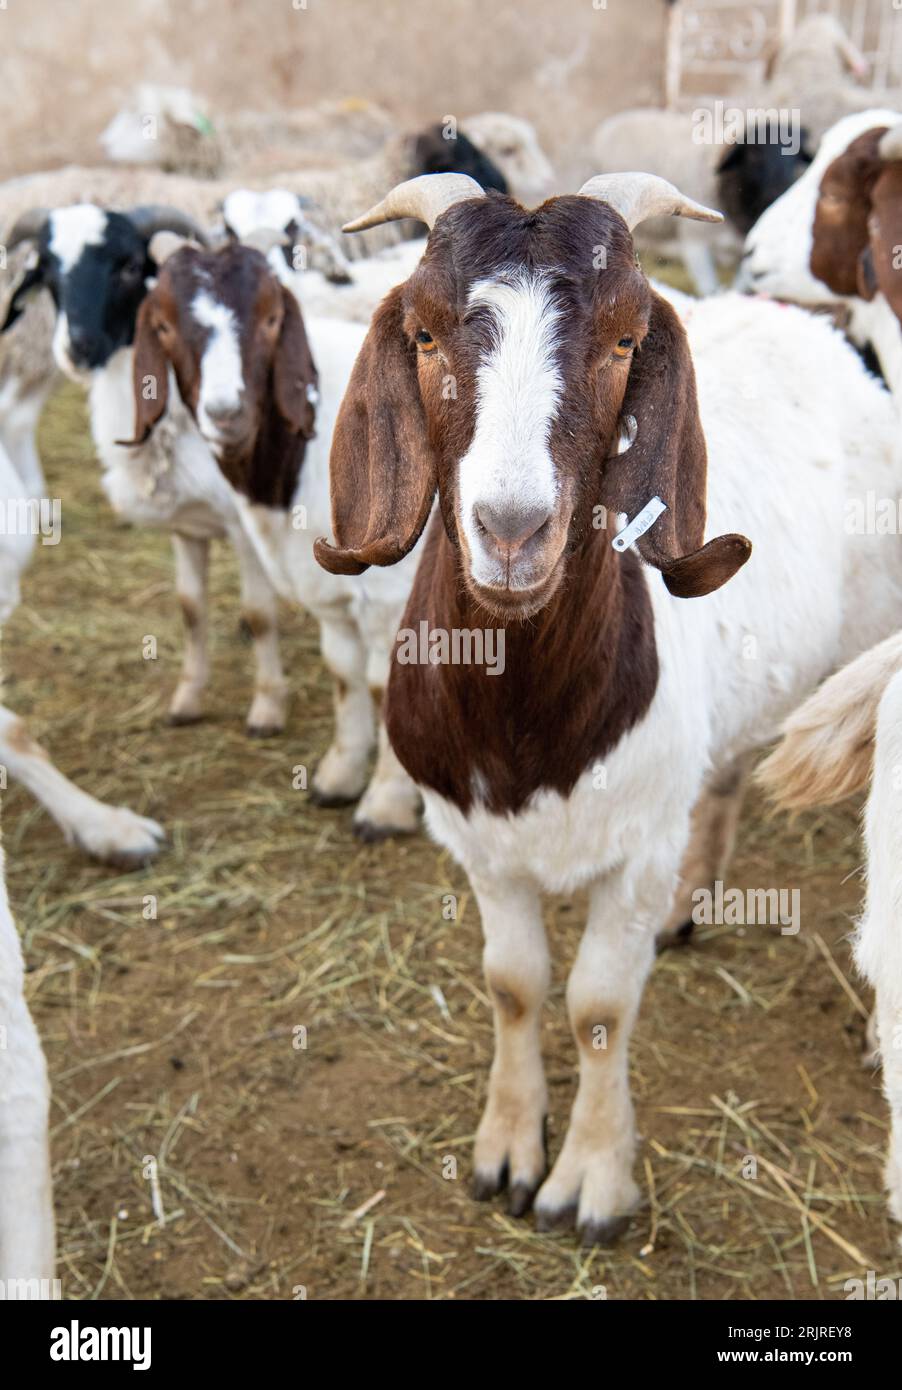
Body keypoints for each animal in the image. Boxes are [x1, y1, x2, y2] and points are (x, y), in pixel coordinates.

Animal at [1, 203, 289, 738]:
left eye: (131, 266)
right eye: (47, 270)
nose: (78, 347)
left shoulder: (244, 524)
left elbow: (259, 613)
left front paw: (267, 709)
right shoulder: (186, 525)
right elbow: (191, 610)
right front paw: (187, 701)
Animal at [117, 239, 421, 837]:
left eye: (273, 319)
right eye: (162, 326)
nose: (225, 413)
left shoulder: (389, 594)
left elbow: (384, 685)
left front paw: (387, 804)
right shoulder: (329, 594)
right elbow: (344, 673)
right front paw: (340, 776)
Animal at [314, 170, 902, 1243]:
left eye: (627, 340)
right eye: (422, 335)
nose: (511, 531)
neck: (525, 721)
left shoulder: (632, 849)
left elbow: (597, 1006)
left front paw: (589, 1178)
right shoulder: (479, 846)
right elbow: (513, 987)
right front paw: (507, 1150)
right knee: (724, 778)